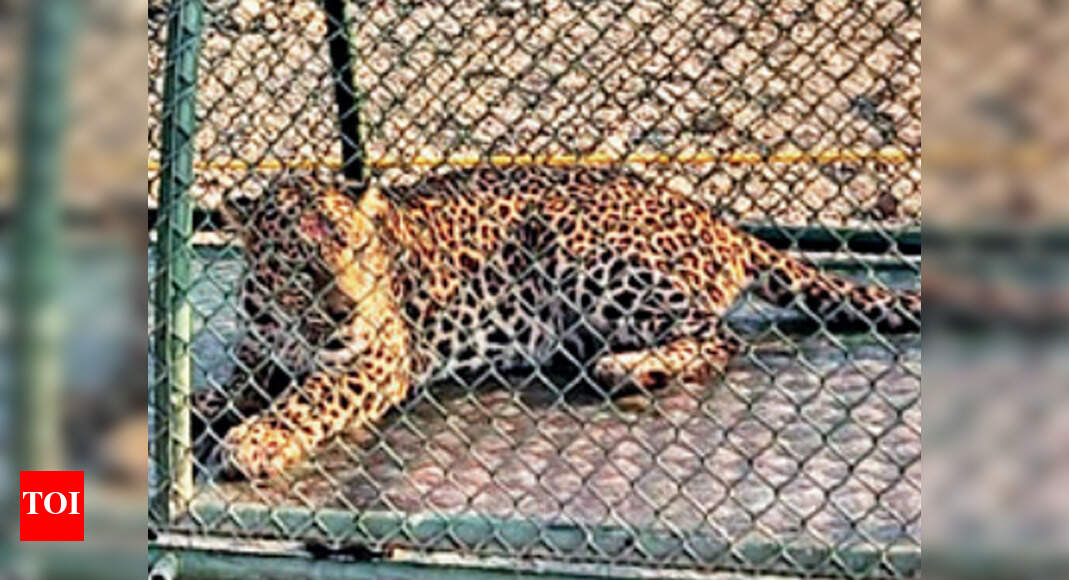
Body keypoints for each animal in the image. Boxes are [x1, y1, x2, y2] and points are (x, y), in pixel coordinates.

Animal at [202, 166, 921, 479]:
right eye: (299, 266)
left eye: (358, 251)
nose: (348, 311)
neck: (289, 326)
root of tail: (720, 221)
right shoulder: (261, 356)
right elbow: (228, 387)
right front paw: (210, 410)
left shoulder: (376, 358)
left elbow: (311, 396)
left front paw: (259, 438)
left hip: (582, 248)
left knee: (721, 337)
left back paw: (631, 368)